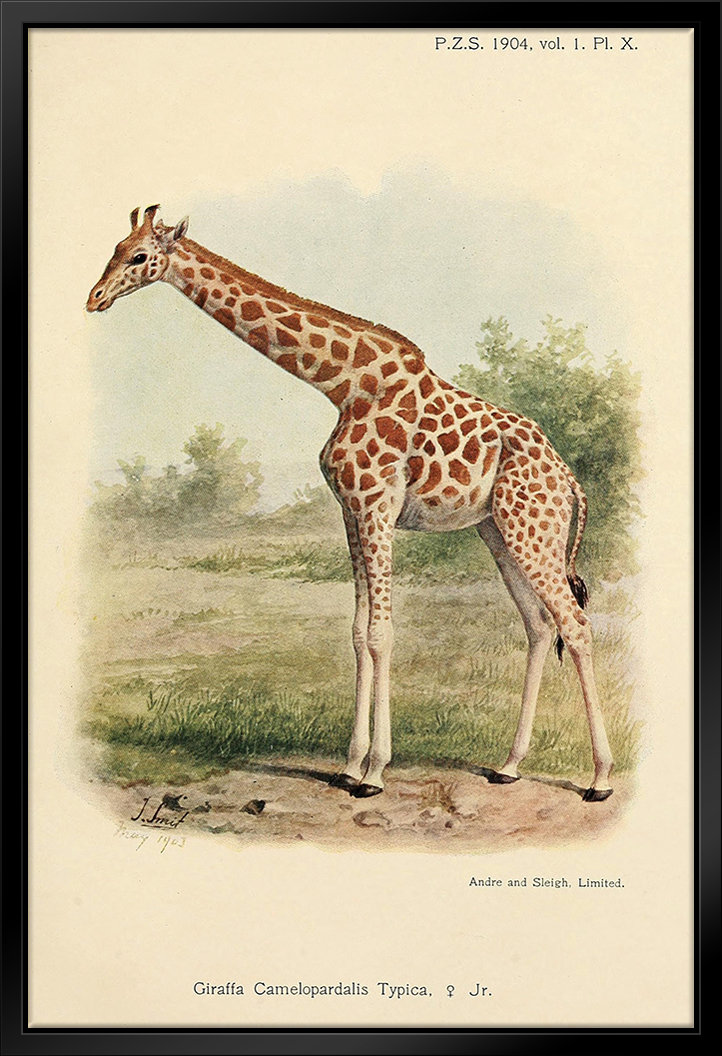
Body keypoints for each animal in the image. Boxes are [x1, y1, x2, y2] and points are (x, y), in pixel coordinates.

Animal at [86, 205, 614, 803]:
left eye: (138, 255)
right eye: (114, 248)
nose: (95, 297)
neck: (342, 383)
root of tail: (570, 480)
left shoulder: (377, 505)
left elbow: (383, 634)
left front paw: (376, 772)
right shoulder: (351, 510)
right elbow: (360, 634)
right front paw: (348, 767)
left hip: (532, 530)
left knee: (575, 624)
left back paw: (599, 778)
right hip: (499, 532)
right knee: (540, 625)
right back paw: (509, 765)